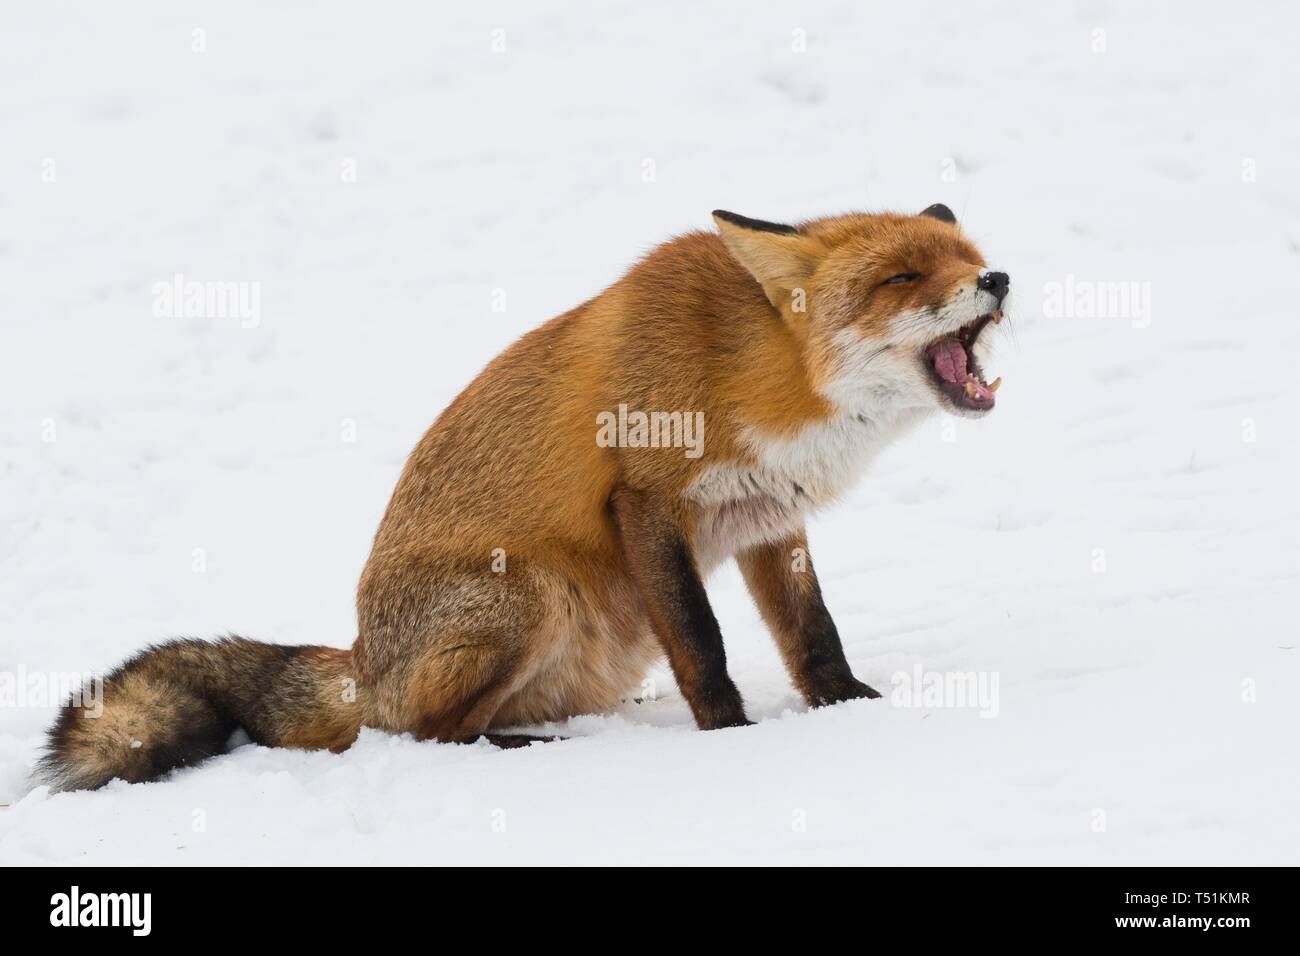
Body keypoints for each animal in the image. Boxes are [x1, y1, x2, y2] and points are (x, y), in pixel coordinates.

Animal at [39, 203, 1009, 790]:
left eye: (970, 260)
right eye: (900, 279)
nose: (997, 283)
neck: (766, 379)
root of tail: (362, 660)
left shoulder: (770, 511)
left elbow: (813, 635)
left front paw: (850, 712)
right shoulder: (646, 502)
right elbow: (702, 641)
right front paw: (731, 739)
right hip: (531, 592)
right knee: (420, 735)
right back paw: (526, 750)